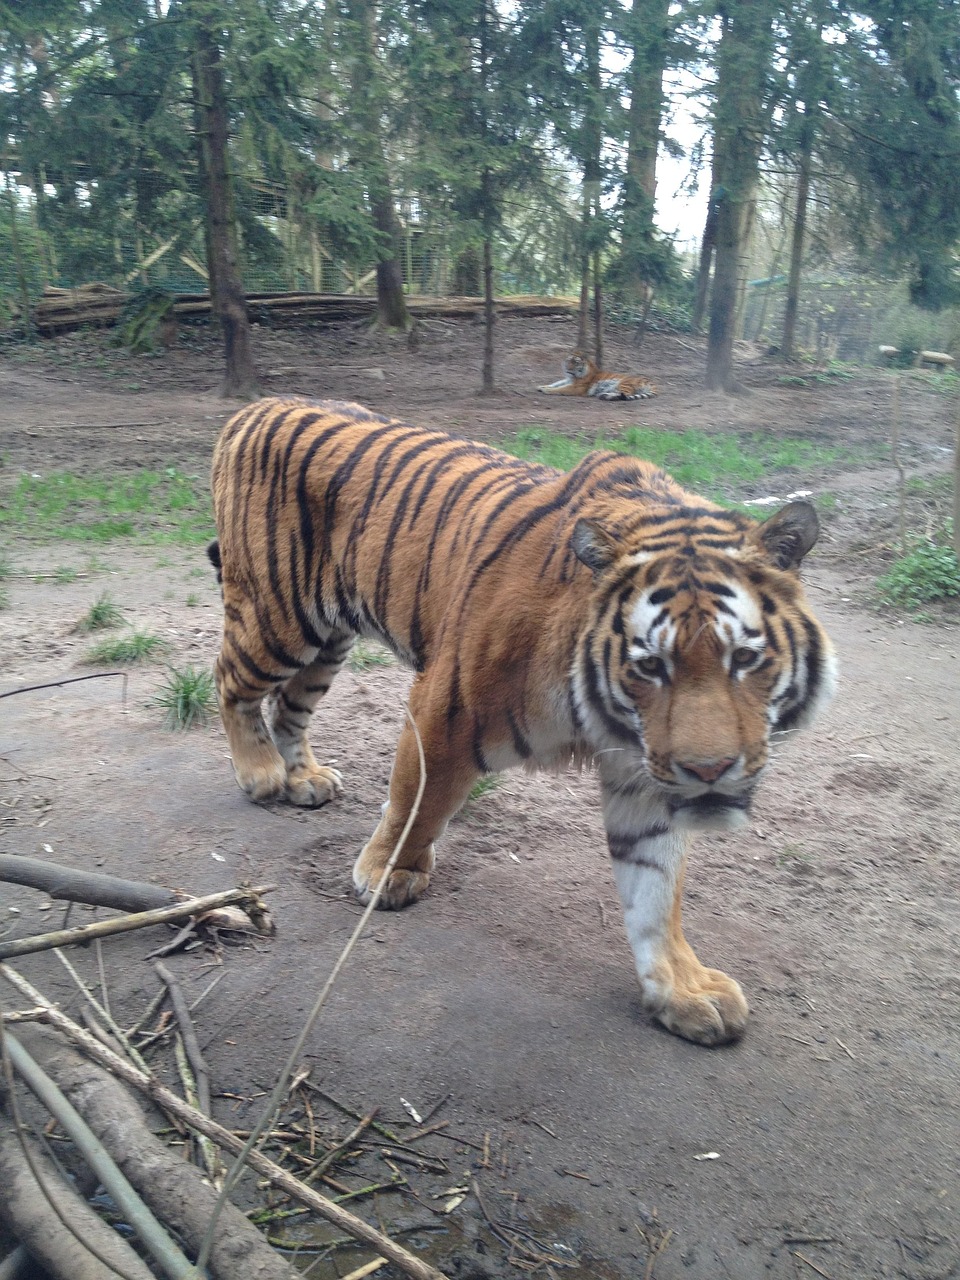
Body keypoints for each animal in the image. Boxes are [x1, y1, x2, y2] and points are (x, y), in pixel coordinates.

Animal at [209, 396, 836, 1047]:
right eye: (650, 664)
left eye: (745, 658)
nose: (709, 770)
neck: (610, 713)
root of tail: (255, 407)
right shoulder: (445, 707)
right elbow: (415, 801)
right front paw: (386, 874)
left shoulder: (647, 773)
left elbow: (657, 890)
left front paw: (682, 992)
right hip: (278, 618)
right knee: (230, 681)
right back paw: (261, 774)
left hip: (329, 640)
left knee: (289, 706)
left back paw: (304, 779)